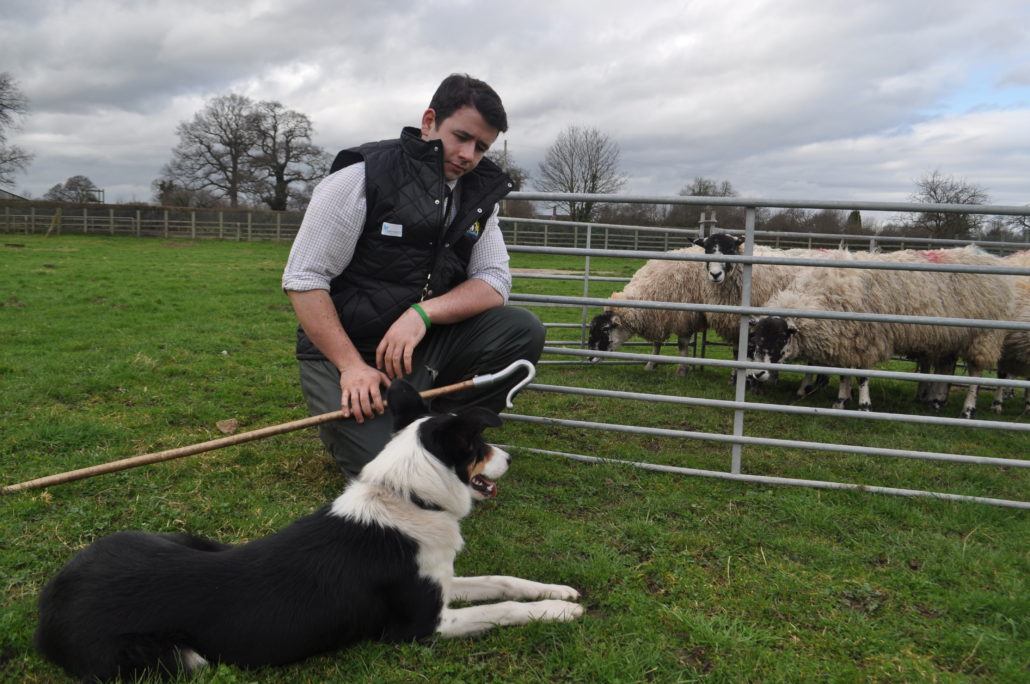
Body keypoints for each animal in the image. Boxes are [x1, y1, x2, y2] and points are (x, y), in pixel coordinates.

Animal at [587, 246, 708, 376]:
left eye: (605, 329)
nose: (589, 358)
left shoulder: (685, 318)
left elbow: (682, 344)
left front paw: (681, 371)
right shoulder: (658, 319)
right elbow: (656, 343)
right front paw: (651, 365)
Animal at [746, 246, 1014, 418]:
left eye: (782, 338)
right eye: (756, 339)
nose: (757, 373)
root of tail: (989, 257)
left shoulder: (866, 340)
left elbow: (862, 376)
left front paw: (864, 406)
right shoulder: (849, 341)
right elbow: (844, 374)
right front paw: (841, 401)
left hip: (983, 337)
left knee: (976, 374)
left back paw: (968, 410)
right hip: (950, 338)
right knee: (946, 368)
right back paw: (936, 402)